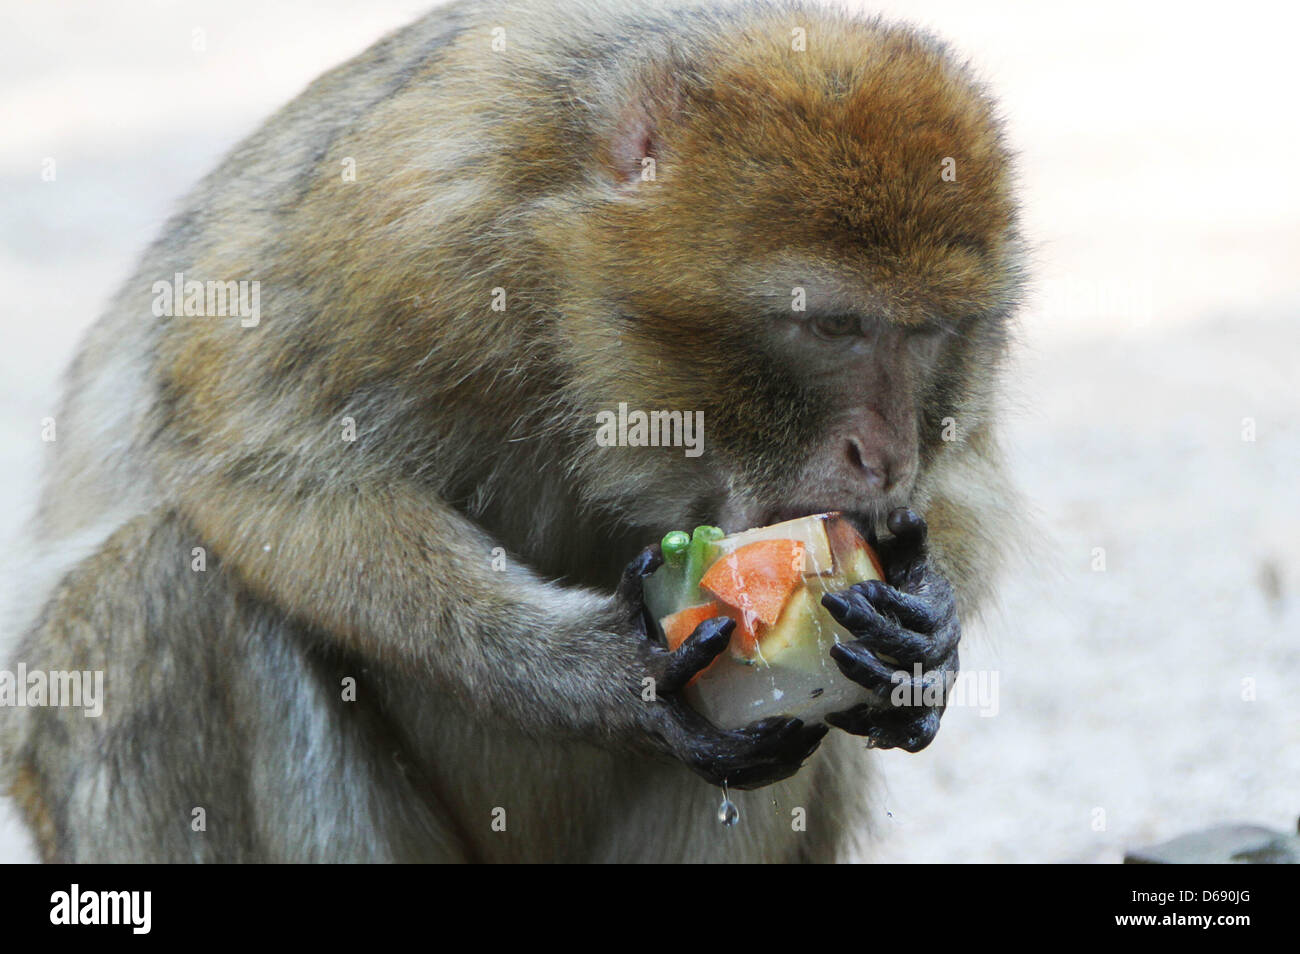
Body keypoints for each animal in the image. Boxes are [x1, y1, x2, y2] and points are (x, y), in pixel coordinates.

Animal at [0, 0, 1023, 862]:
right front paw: (601, 674)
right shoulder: (410, 220)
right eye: (833, 327)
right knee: (167, 577)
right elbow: (265, 464)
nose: (884, 455)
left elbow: (967, 484)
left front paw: (926, 625)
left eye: (929, 335)